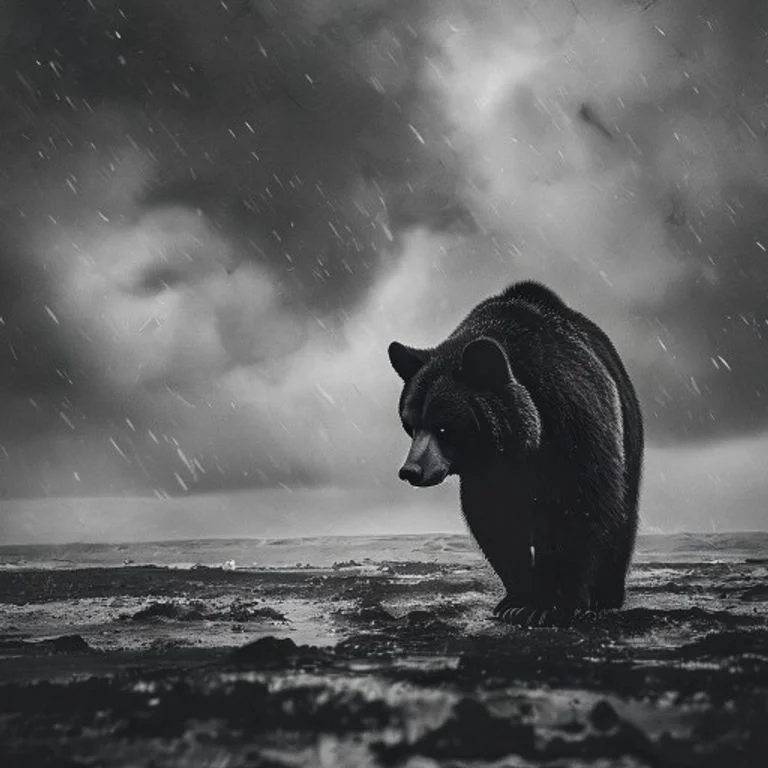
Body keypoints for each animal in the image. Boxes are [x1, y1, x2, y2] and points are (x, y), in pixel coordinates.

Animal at [388, 280, 643, 627]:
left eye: (443, 427)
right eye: (410, 424)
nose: (411, 470)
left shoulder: (573, 427)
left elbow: (579, 509)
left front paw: (551, 605)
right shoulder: (489, 475)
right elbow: (496, 520)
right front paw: (517, 600)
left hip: (628, 430)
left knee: (621, 515)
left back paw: (606, 596)